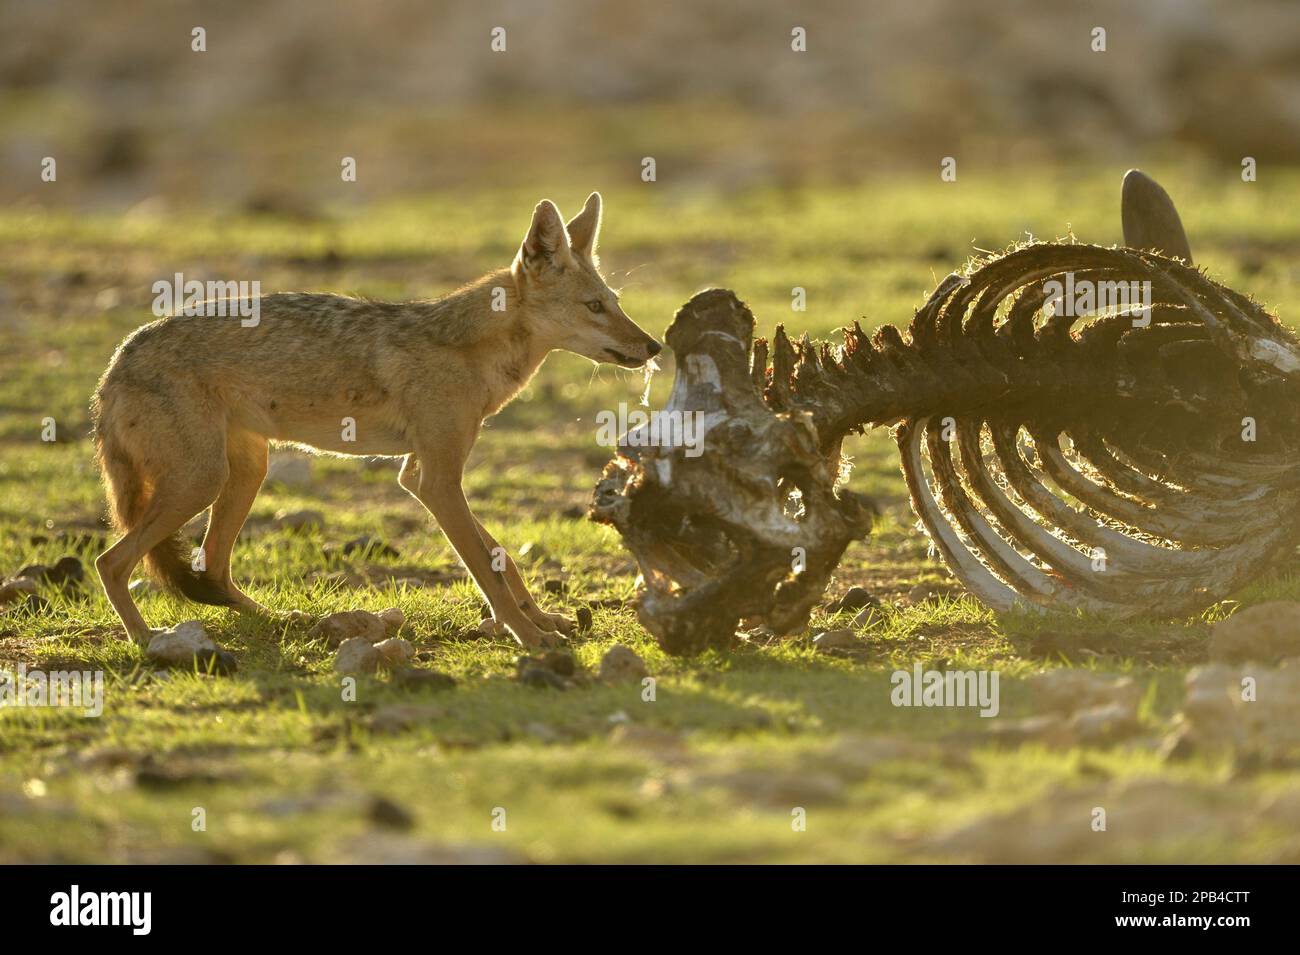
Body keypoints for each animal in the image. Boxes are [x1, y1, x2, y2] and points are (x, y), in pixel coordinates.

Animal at [92, 193, 661, 648]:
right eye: (594, 307)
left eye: (614, 303)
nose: (654, 346)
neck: (469, 351)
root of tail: (115, 364)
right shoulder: (436, 479)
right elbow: (484, 567)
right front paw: (530, 636)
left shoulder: (419, 474)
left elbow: (501, 555)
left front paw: (542, 619)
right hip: (202, 482)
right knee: (112, 562)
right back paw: (146, 639)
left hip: (243, 473)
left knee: (210, 567)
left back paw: (282, 619)